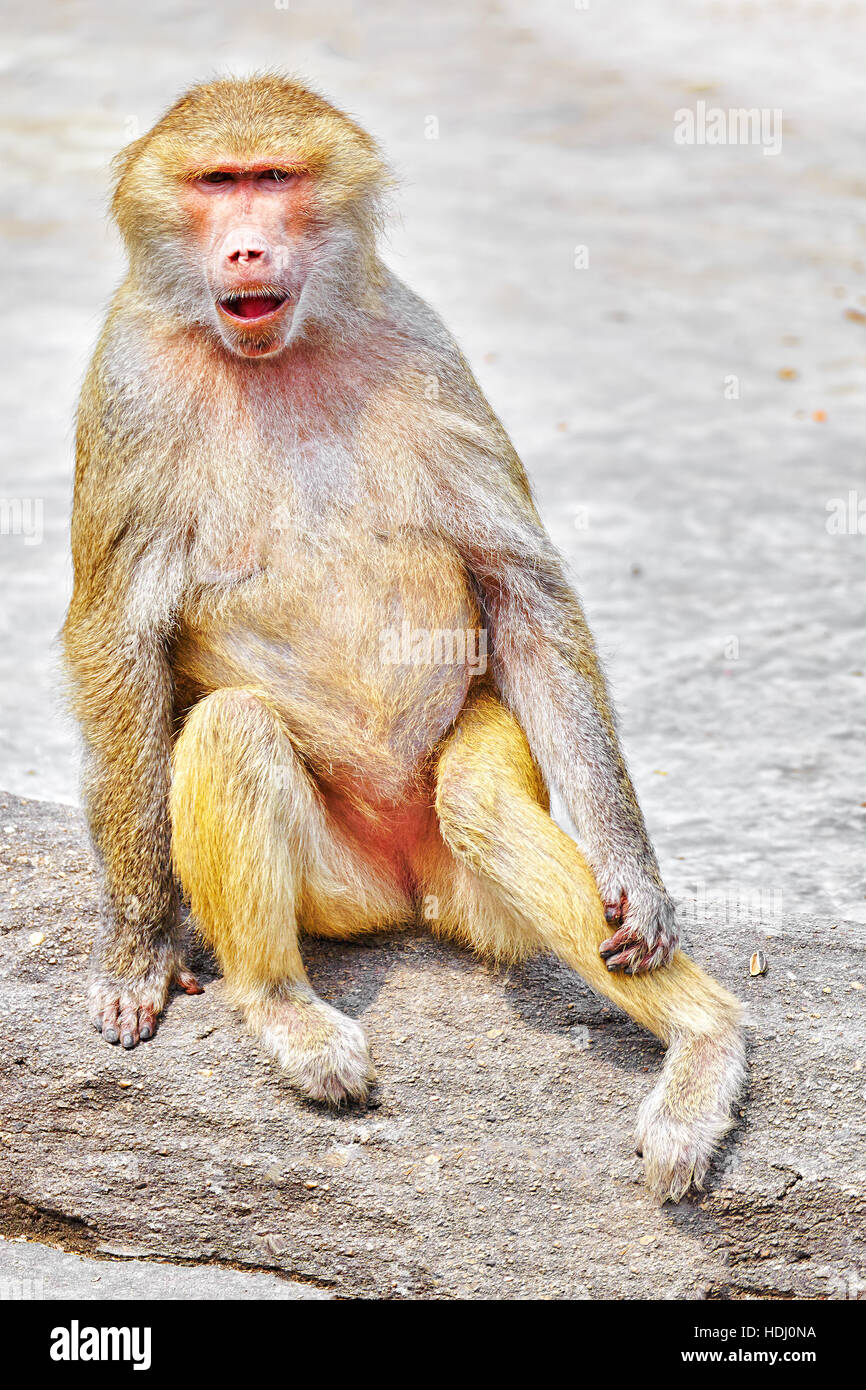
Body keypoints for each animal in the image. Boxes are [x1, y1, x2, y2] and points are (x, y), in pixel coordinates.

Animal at [62, 75, 744, 1203]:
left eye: (274, 178)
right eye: (216, 182)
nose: (246, 250)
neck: (277, 356)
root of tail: (404, 901)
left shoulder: (427, 345)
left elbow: (519, 590)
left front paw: (634, 876)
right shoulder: (125, 386)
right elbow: (116, 640)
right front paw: (138, 944)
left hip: (456, 874)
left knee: (473, 798)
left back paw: (704, 1046)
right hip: (329, 898)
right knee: (234, 729)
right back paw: (290, 1019)